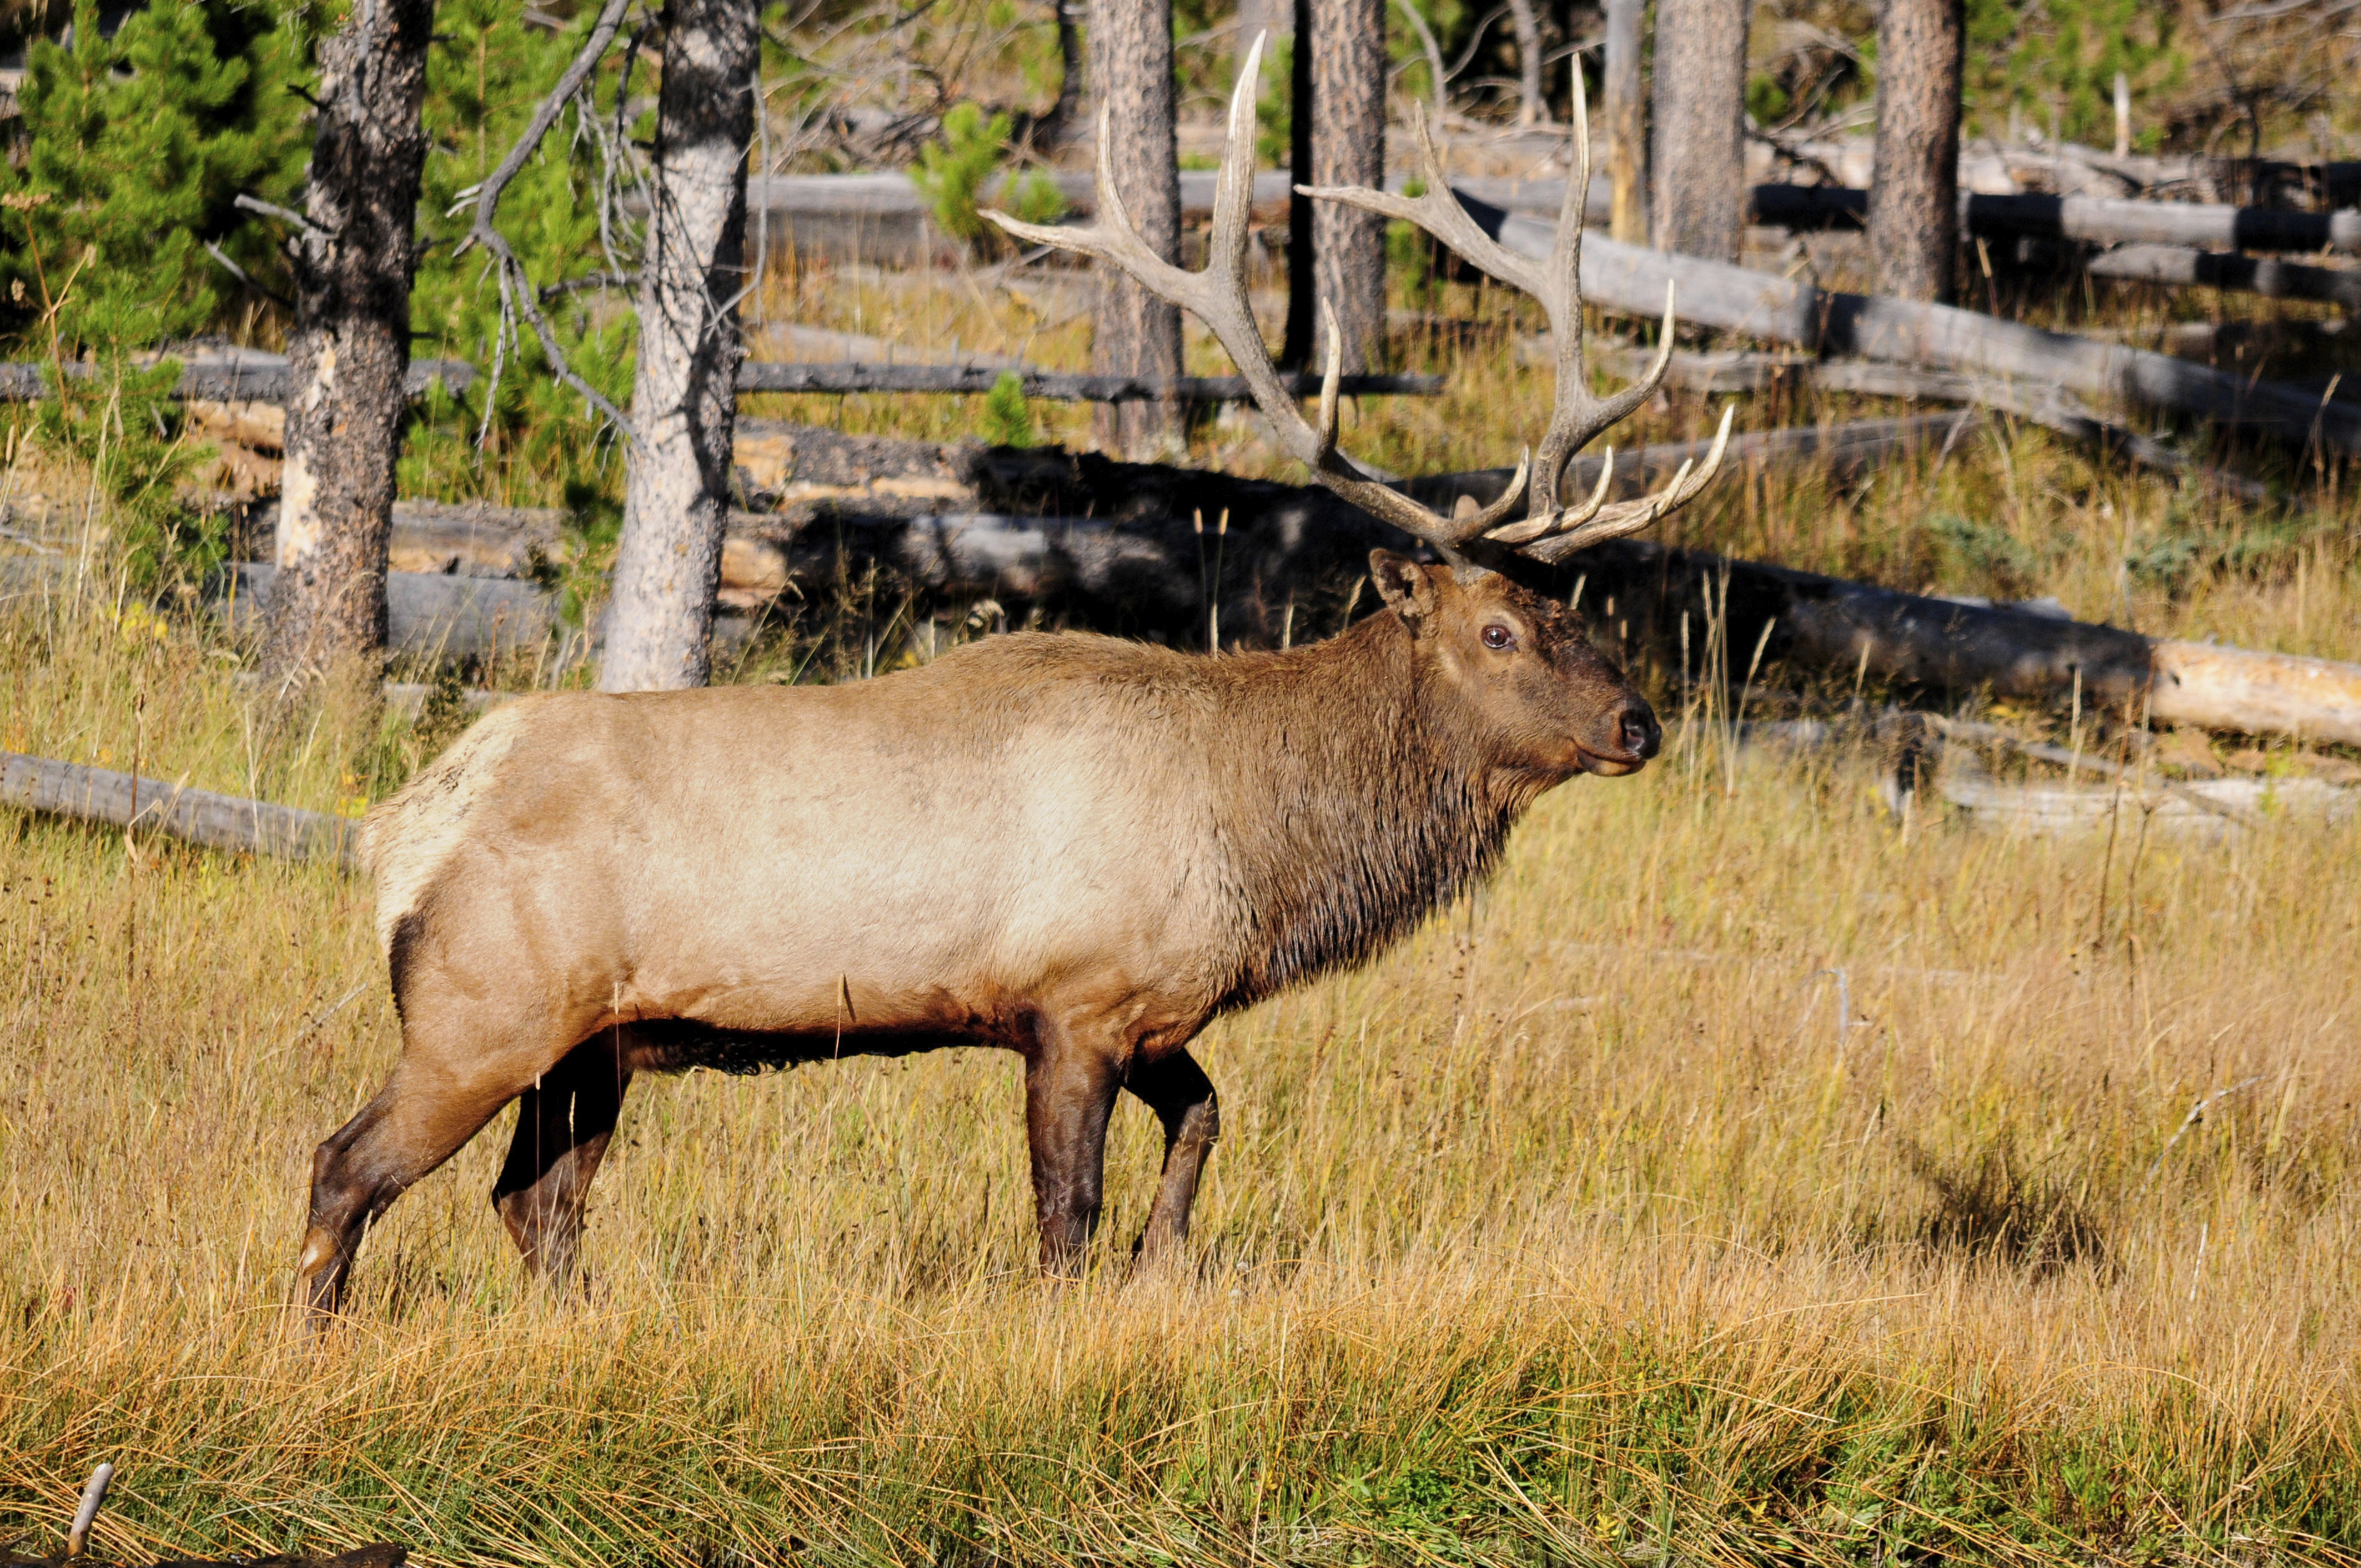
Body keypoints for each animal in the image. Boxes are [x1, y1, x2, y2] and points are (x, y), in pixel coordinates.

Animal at [293, 43, 1730, 1320]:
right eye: (1495, 630)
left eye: (1566, 607)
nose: (1637, 720)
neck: (1259, 843)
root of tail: (400, 831)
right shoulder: (1075, 999)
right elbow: (1064, 1213)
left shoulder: (1146, 1014)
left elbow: (1205, 1119)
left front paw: (1163, 1264)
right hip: (482, 1009)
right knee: (346, 1166)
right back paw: (314, 1336)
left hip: (594, 1042)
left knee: (534, 1201)